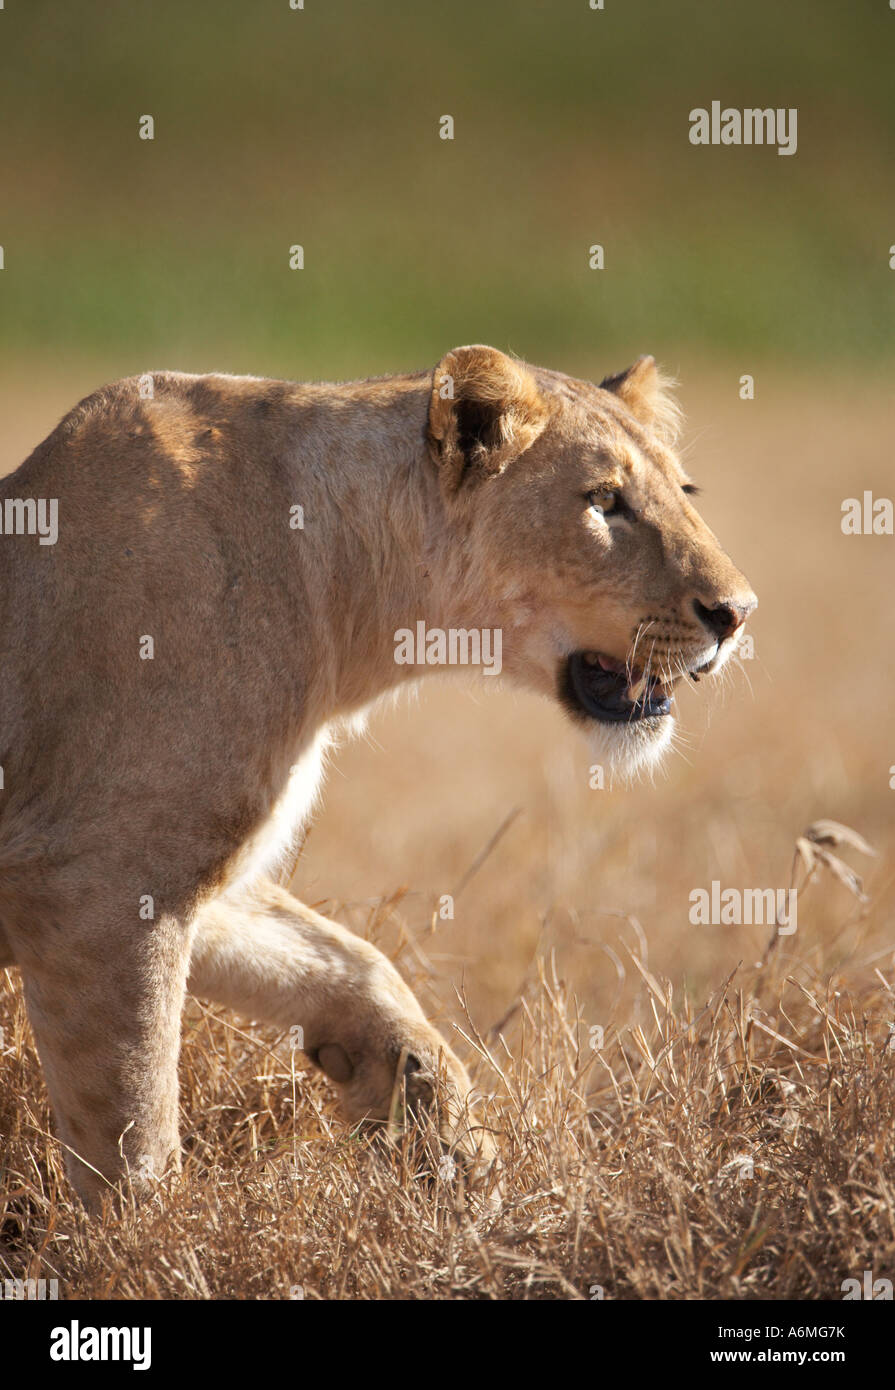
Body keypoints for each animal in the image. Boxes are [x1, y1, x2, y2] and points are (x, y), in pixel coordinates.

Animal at [0, 346, 755, 1207]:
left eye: (683, 492)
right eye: (603, 502)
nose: (737, 613)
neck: (343, 603)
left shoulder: (180, 885)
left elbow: (354, 967)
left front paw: (449, 1148)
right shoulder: (96, 888)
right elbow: (134, 1132)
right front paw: (149, 1238)